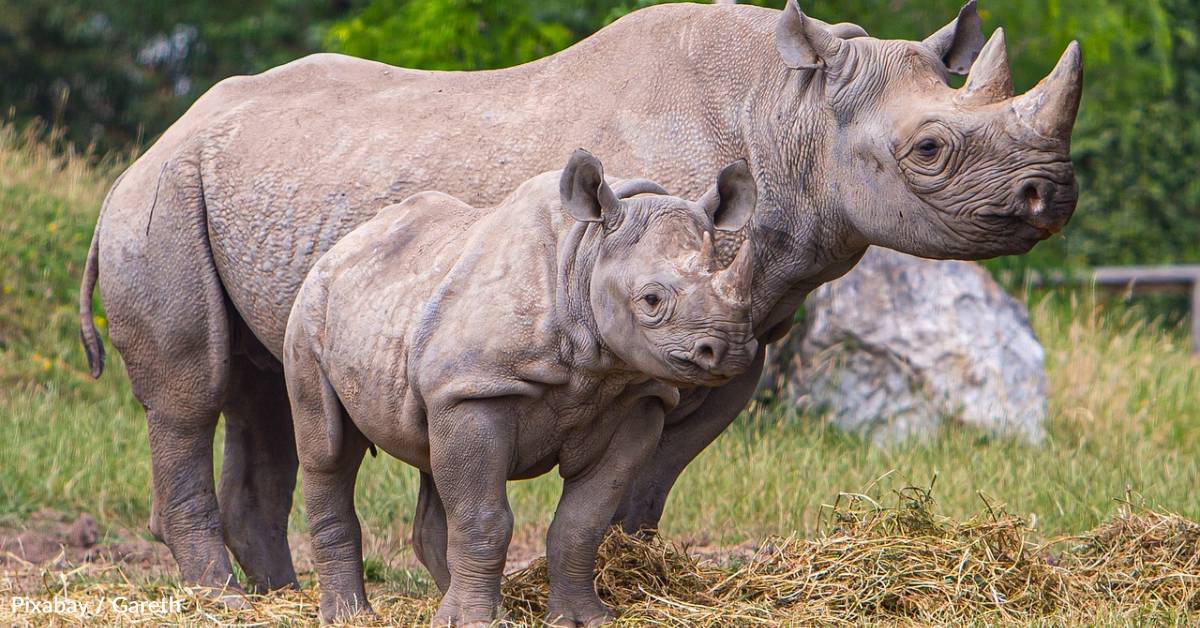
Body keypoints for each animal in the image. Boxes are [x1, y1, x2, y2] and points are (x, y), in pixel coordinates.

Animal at [285, 150, 757, 625]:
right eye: (652, 300)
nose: (731, 347)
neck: (584, 257)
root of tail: (342, 246)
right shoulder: (477, 390)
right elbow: (485, 517)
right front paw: (476, 621)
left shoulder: (636, 399)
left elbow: (582, 522)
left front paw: (582, 619)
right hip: (309, 312)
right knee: (328, 452)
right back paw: (350, 615)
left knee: (429, 455)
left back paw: (452, 604)